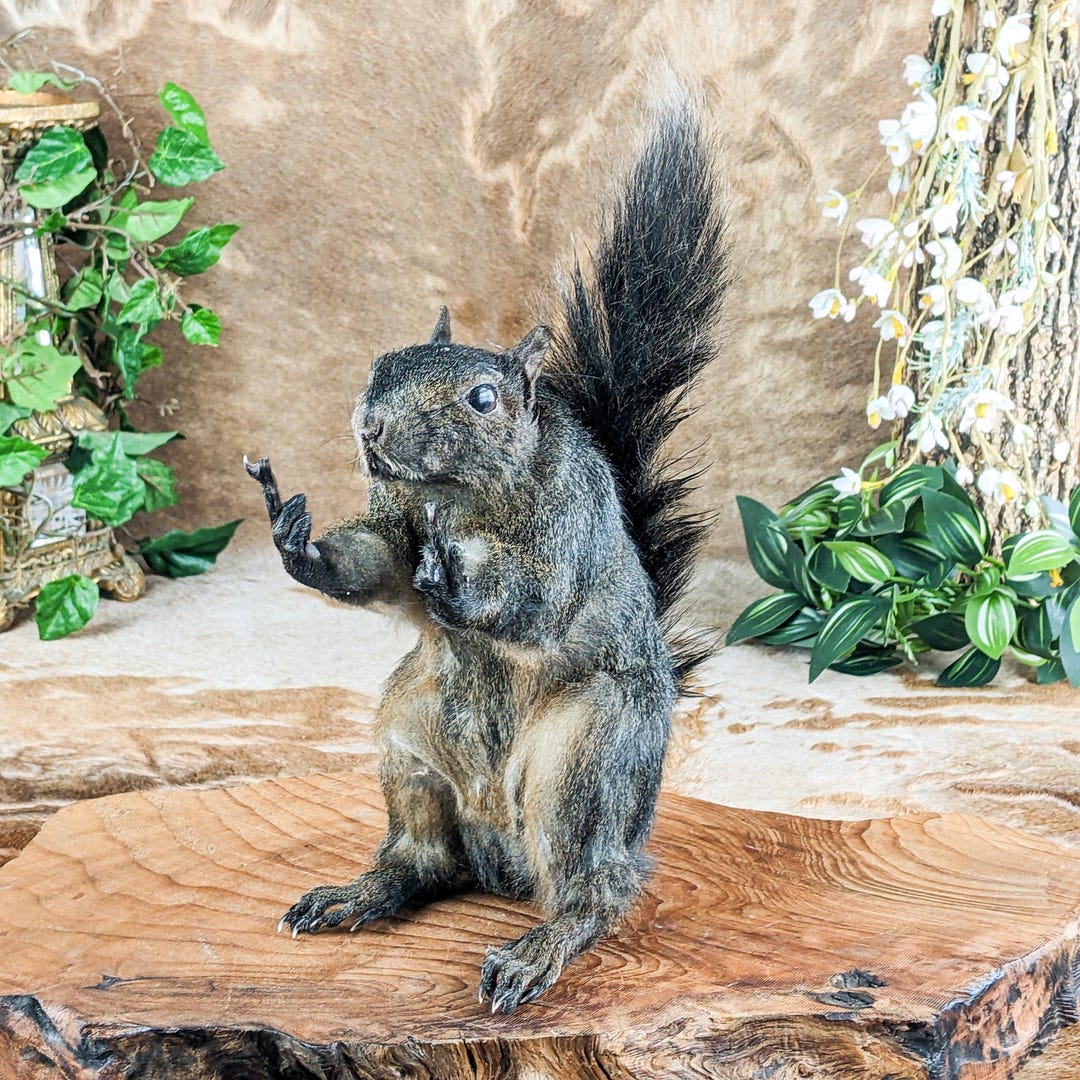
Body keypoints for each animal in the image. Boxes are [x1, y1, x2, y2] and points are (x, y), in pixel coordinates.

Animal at [244, 94, 728, 1014]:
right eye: (380, 362)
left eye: (482, 398)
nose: (369, 428)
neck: (456, 494)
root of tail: (505, 862)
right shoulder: (394, 520)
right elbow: (378, 567)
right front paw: (302, 543)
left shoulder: (570, 524)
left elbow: (536, 601)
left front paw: (458, 584)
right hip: (408, 738)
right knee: (424, 862)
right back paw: (356, 893)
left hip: (585, 763)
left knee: (595, 890)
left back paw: (539, 948)